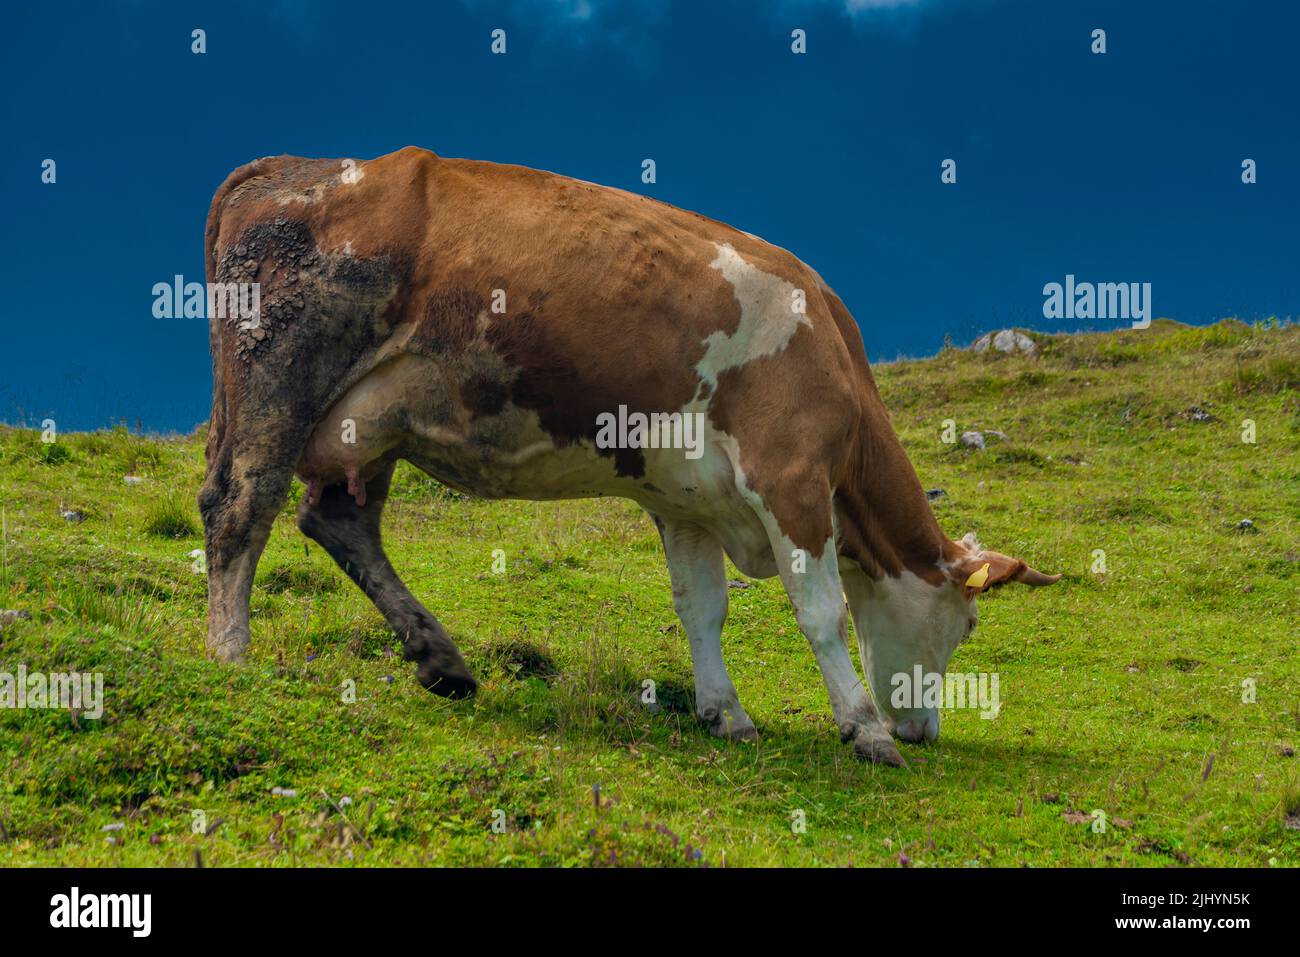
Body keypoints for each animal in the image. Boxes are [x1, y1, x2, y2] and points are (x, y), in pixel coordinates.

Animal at [200, 146, 1058, 766]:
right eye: (967, 625)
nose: (926, 731)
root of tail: (285, 167)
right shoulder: (790, 474)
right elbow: (820, 610)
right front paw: (865, 728)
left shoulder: (688, 502)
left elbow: (702, 609)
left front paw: (726, 712)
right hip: (279, 379)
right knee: (240, 505)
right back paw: (230, 653)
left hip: (372, 418)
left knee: (339, 520)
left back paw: (440, 657)